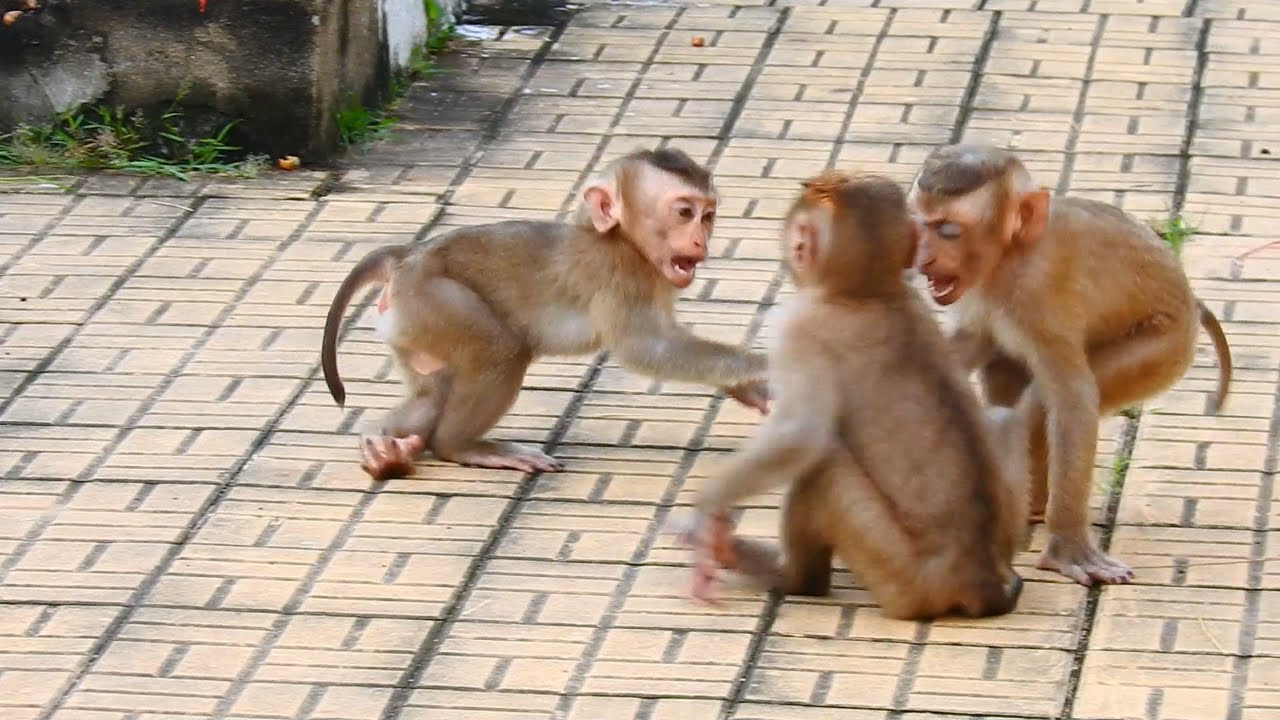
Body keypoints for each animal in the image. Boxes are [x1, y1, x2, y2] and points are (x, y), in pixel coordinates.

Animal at [321, 147, 771, 481]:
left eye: (707, 216)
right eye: (683, 213)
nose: (699, 240)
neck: (622, 240)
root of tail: (407, 257)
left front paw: (748, 387)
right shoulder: (621, 274)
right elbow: (646, 348)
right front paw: (761, 368)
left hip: (410, 324)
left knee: (431, 389)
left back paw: (381, 445)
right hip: (432, 301)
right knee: (501, 351)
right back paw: (459, 446)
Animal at [677, 170, 1029, 621]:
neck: (871, 292)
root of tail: (984, 581)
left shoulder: (795, 327)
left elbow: (800, 437)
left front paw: (707, 513)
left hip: (903, 578)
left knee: (824, 463)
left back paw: (789, 576)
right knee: (1001, 417)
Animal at [907, 143, 1233, 587]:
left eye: (948, 230)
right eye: (921, 225)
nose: (922, 257)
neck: (1010, 254)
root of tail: (1192, 301)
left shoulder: (1037, 294)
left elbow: (1074, 399)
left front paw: (1069, 549)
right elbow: (972, 342)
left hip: (1165, 346)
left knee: (1041, 405)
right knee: (1005, 374)